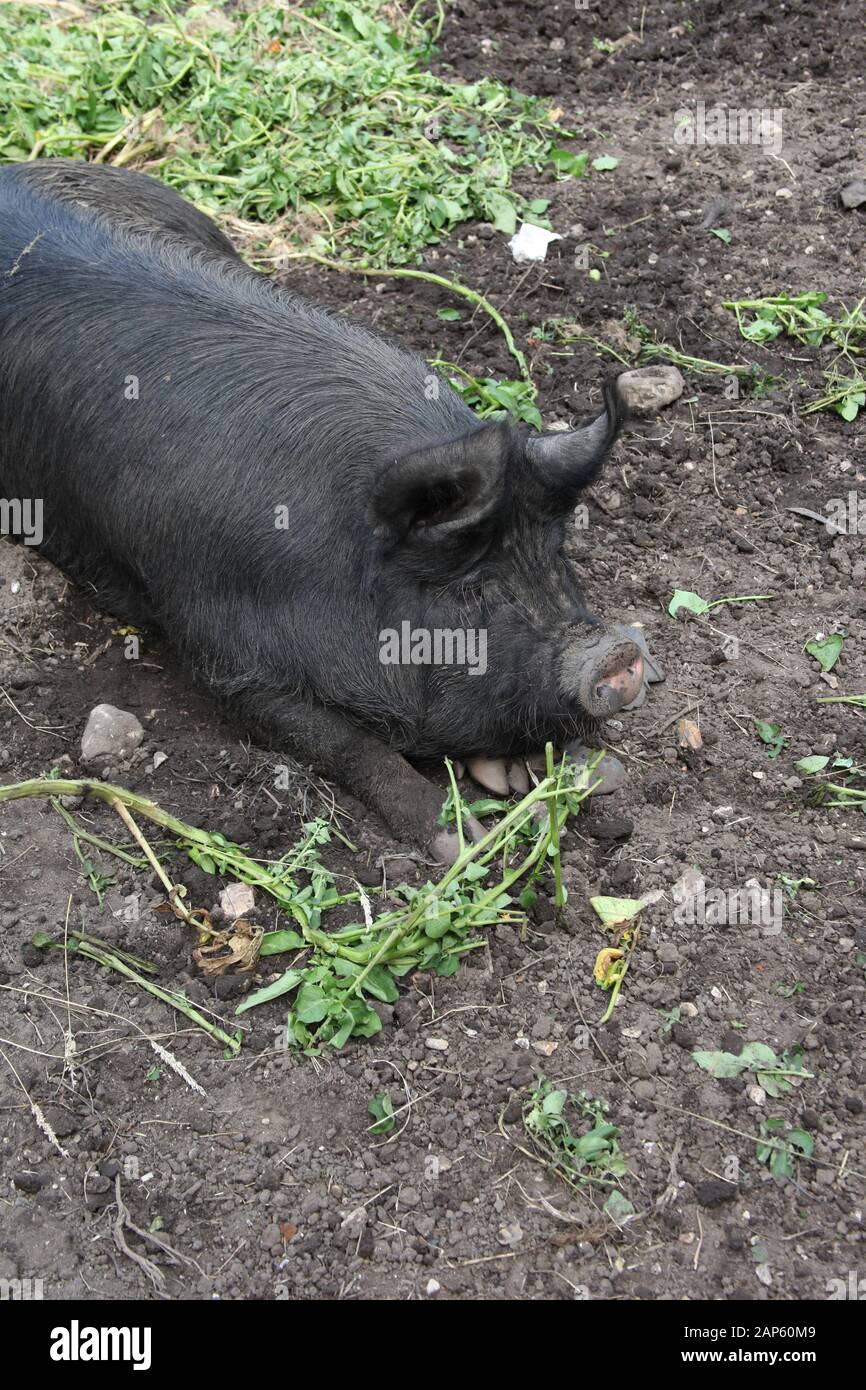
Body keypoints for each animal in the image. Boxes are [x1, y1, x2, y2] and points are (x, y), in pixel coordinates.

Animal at [0, 160, 649, 859]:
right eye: (471, 589)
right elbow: (353, 746)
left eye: (556, 552)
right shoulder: (221, 654)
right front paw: (461, 843)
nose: (617, 653)